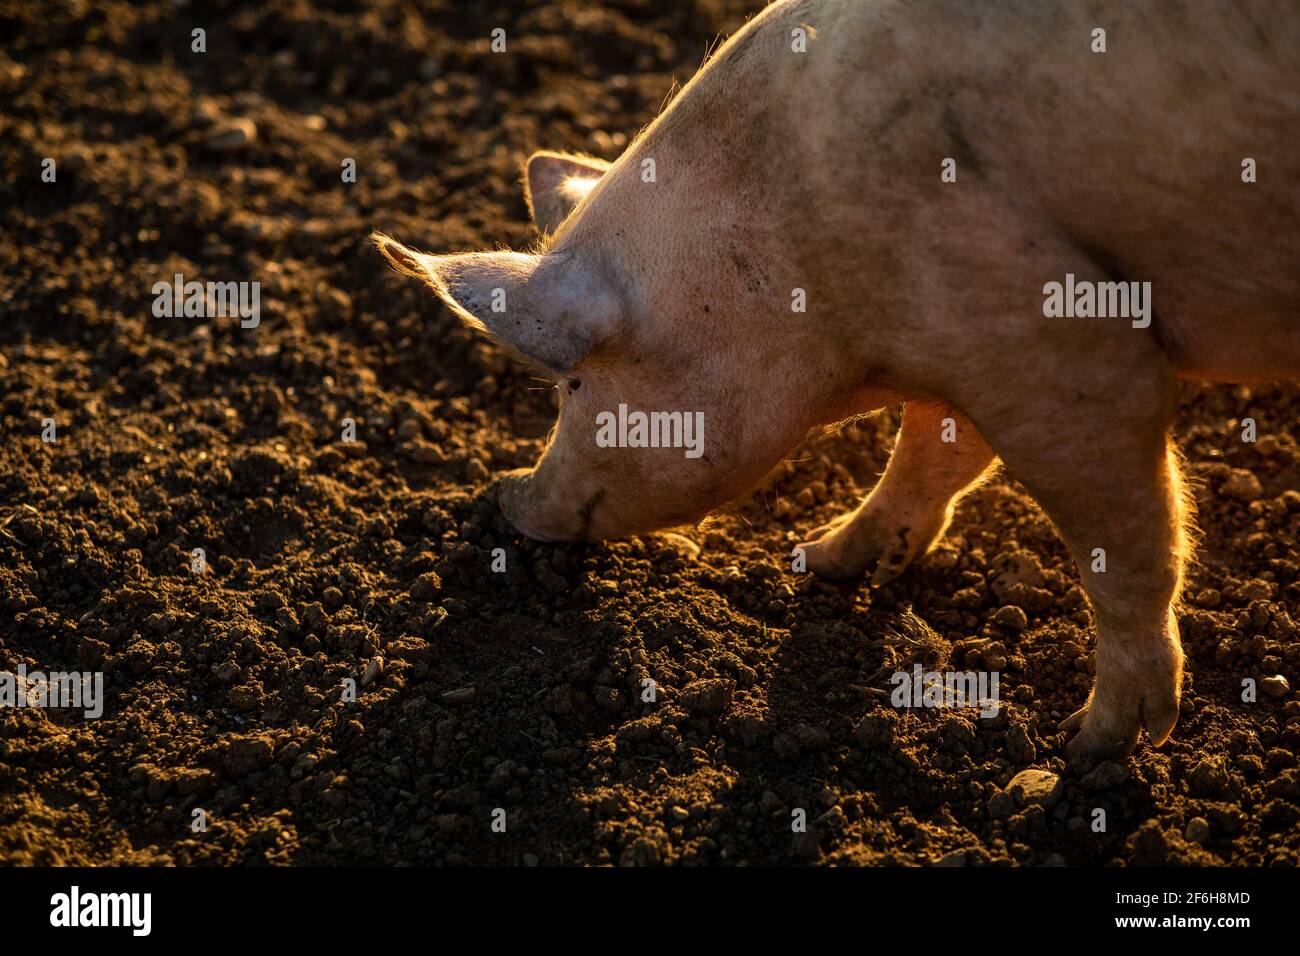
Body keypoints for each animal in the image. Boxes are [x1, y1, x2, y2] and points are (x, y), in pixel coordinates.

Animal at [374, 0, 1300, 763]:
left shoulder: (1066, 347)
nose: (507, 499)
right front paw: (819, 561)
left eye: (570, 384)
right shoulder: (965, 350)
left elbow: (1125, 547)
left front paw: (1089, 749)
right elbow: (930, 458)